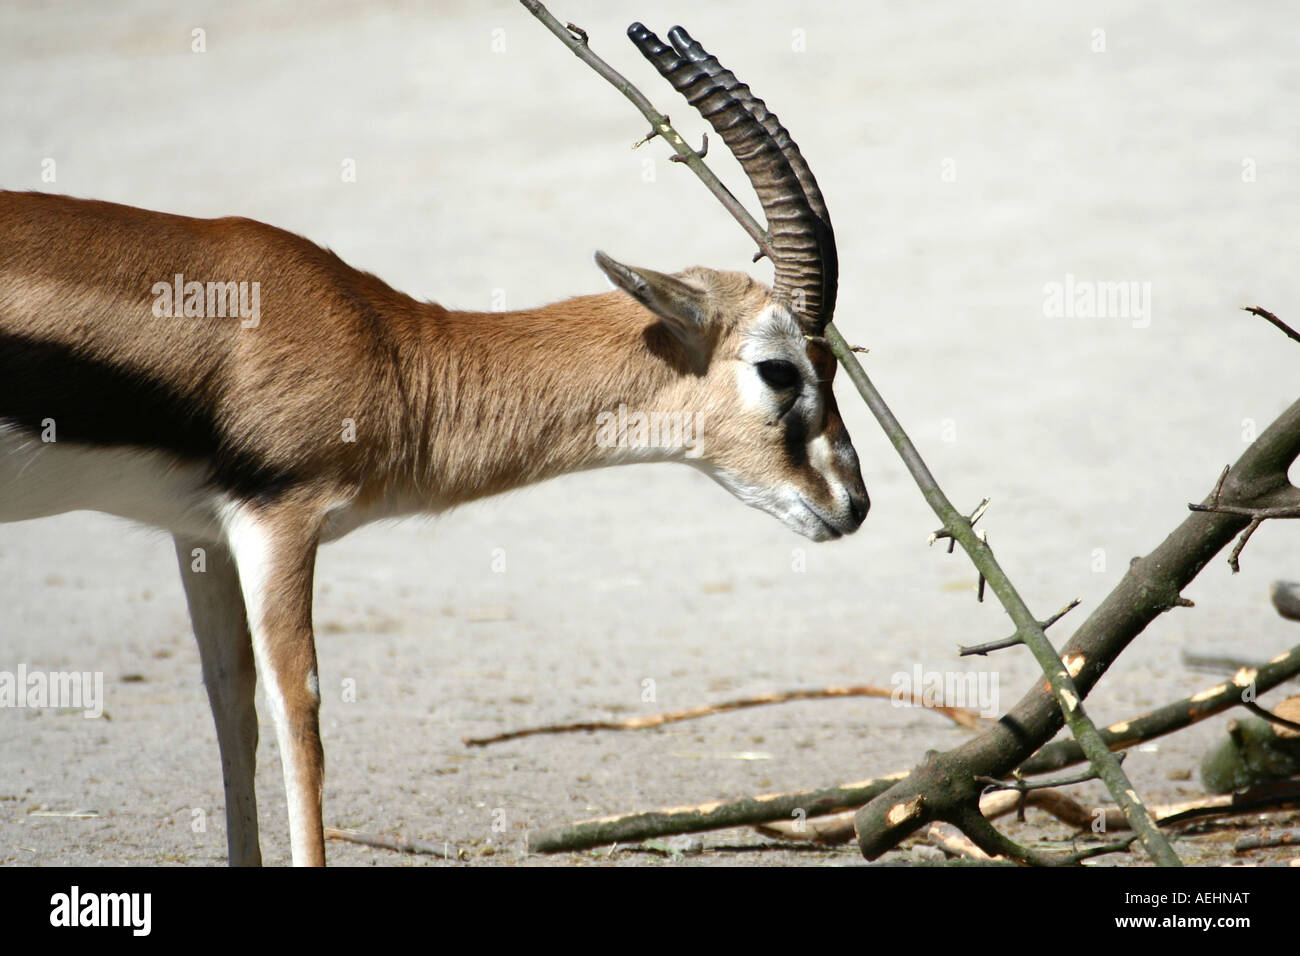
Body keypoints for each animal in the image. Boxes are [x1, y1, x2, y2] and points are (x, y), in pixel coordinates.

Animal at [0, 22, 867, 865]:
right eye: (780, 368)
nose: (852, 503)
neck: (389, 351)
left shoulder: (199, 534)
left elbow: (230, 703)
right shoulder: (278, 522)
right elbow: (299, 709)